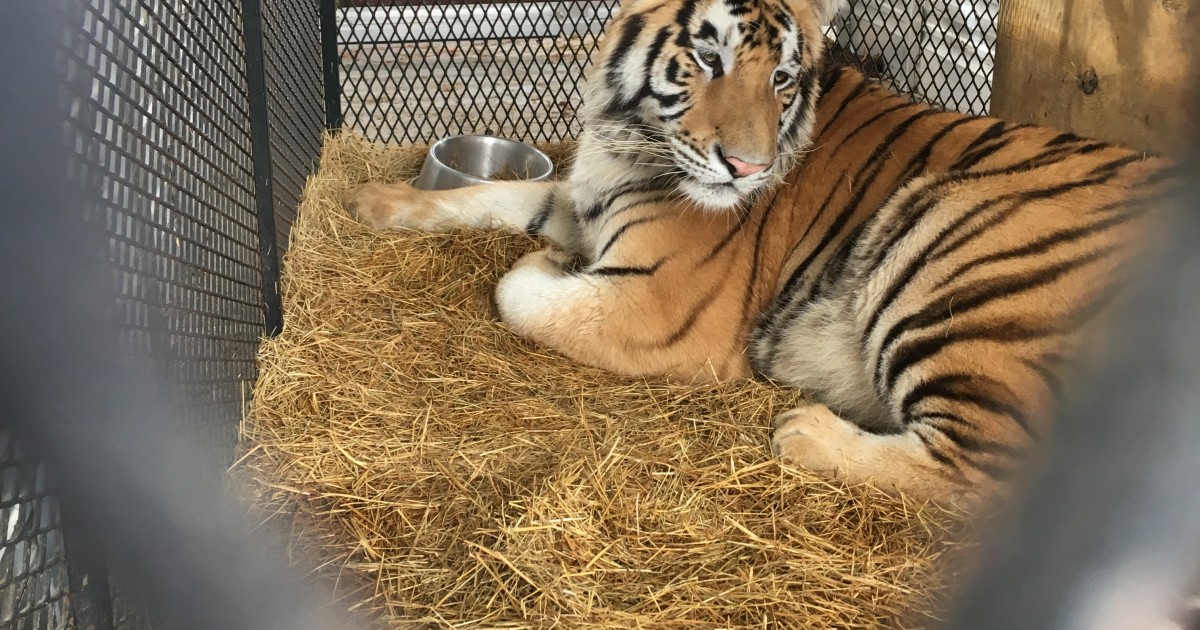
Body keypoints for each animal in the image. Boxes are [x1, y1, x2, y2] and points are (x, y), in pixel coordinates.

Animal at [344, 0, 1177, 506]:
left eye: (781, 77)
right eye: (706, 60)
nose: (748, 168)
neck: (626, 138)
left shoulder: (658, 306)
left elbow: (517, 293)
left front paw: (546, 269)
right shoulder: (582, 200)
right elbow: (489, 196)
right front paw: (377, 203)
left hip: (952, 239)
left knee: (992, 469)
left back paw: (807, 431)